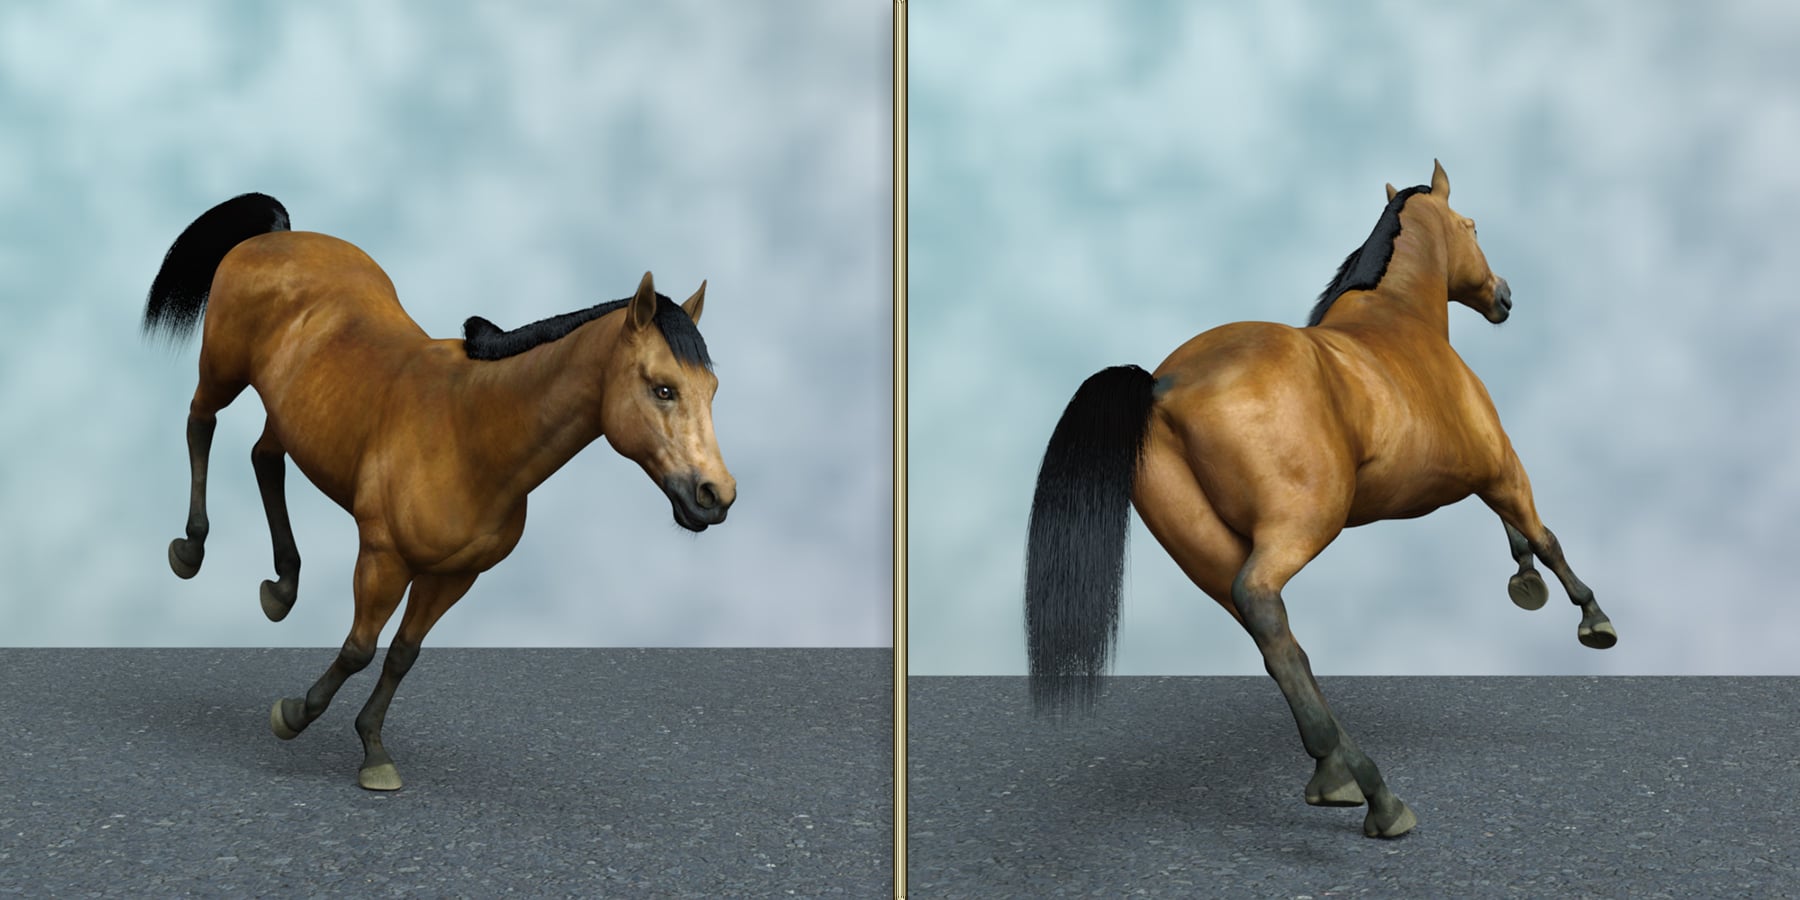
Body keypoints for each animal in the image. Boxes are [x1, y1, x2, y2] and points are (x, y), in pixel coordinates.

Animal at [143, 193, 736, 791]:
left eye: (711, 388)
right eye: (663, 389)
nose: (716, 495)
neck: (469, 431)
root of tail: (279, 236)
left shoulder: (453, 575)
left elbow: (404, 654)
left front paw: (374, 750)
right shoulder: (383, 557)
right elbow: (359, 649)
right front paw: (293, 715)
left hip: (291, 411)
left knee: (265, 458)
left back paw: (282, 588)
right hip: (222, 368)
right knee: (200, 424)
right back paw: (189, 550)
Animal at [1024, 161, 1614, 838]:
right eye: (1471, 225)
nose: (1504, 297)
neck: (1402, 322)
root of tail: (1160, 385)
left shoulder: (1483, 477)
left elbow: (1517, 529)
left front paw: (1525, 582)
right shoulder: (1503, 466)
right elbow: (1544, 534)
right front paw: (1591, 618)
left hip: (1204, 549)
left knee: (1276, 642)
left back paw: (1351, 782)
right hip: (1301, 526)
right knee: (1263, 604)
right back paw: (1368, 792)